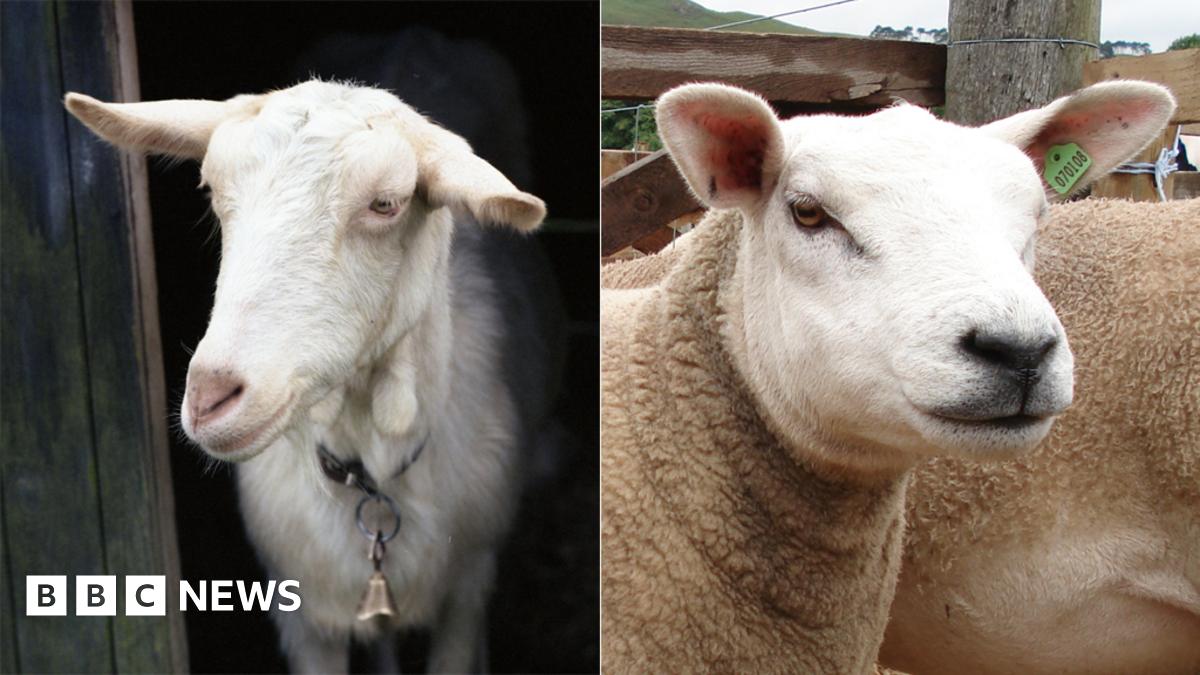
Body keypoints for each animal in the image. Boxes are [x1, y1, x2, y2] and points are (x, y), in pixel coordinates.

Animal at [65, 79, 557, 673]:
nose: (211, 397)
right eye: (211, 189)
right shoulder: (302, 610)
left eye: (385, 204)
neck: (372, 468)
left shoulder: (468, 587)